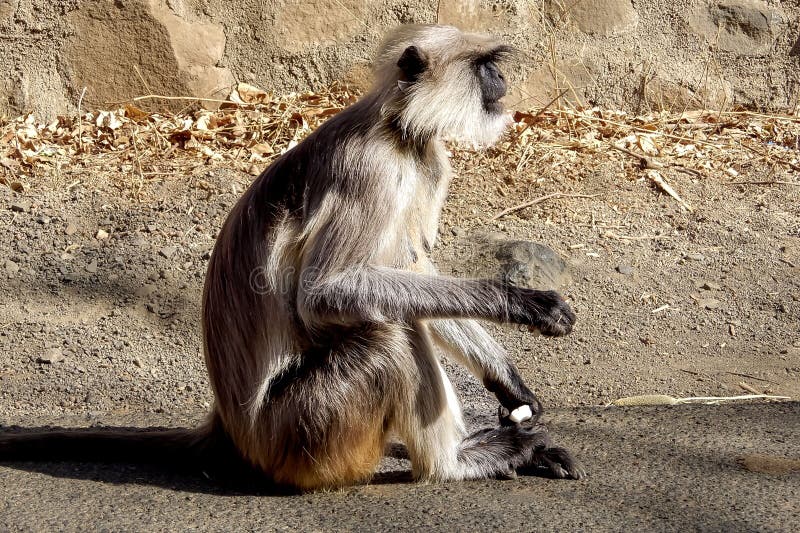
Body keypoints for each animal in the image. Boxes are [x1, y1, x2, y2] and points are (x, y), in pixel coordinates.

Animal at [0, 25, 584, 489]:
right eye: (484, 66)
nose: (501, 80)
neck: (398, 130)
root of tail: (231, 428)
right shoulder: (371, 170)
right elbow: (326, 292)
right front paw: (522, 302)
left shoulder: (426, 164)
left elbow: (413, 270)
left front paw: (507, 379)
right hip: (302, 429)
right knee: (389, 337)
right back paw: (453, 465)